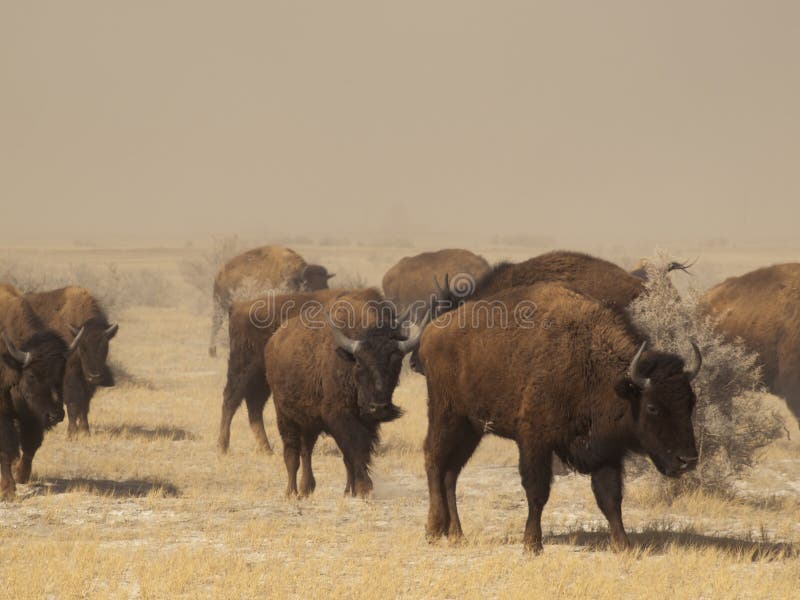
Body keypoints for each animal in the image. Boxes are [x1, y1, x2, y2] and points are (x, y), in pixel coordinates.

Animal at [0, 287, 83, 499]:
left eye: (61, 372)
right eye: (31, 375)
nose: (56, 415)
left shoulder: (33, 416)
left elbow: (31, 445)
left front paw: (21, 475)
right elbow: (7, 448)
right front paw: (8, 490)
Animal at [25, 287, 118, 437]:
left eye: (105, 346)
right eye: (82, 347)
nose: (95, 376)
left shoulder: (86, 383)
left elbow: (85, 404)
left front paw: (85, 431)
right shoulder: (69, 378)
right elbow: (73, 403)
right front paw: (72, 433)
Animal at [218, 287, 381, 453]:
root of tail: (238, 307)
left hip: (261, 380)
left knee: (254, 407)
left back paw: (266, 450)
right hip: (244, 370)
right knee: (231, 400)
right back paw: (223, 448)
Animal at [264, 290, 424, 497]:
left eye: (396, 363)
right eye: (360, 364)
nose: (379, 407)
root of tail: (273, 341)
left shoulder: (366, 422)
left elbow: (355, 454)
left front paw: (351, 490)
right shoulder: (340, 417)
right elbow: (354, 449)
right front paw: (364, 487)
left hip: (309, 422)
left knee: (306, 450)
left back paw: (307, 488)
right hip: (285, 417)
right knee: (292, 454)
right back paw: (292, 492)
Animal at [417, 283, 701, 552]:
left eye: (691, 402)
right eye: (652, 407)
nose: (687, 460)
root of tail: (430, 334)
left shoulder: (606, 452)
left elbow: (610, 498)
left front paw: (624, 545)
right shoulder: (535, 441)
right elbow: (537, 492)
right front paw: (532, 544)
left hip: (471, 429)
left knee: (451, 473)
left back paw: (456, 534)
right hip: (446, 416)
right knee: (434, 460)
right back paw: (434, 529)